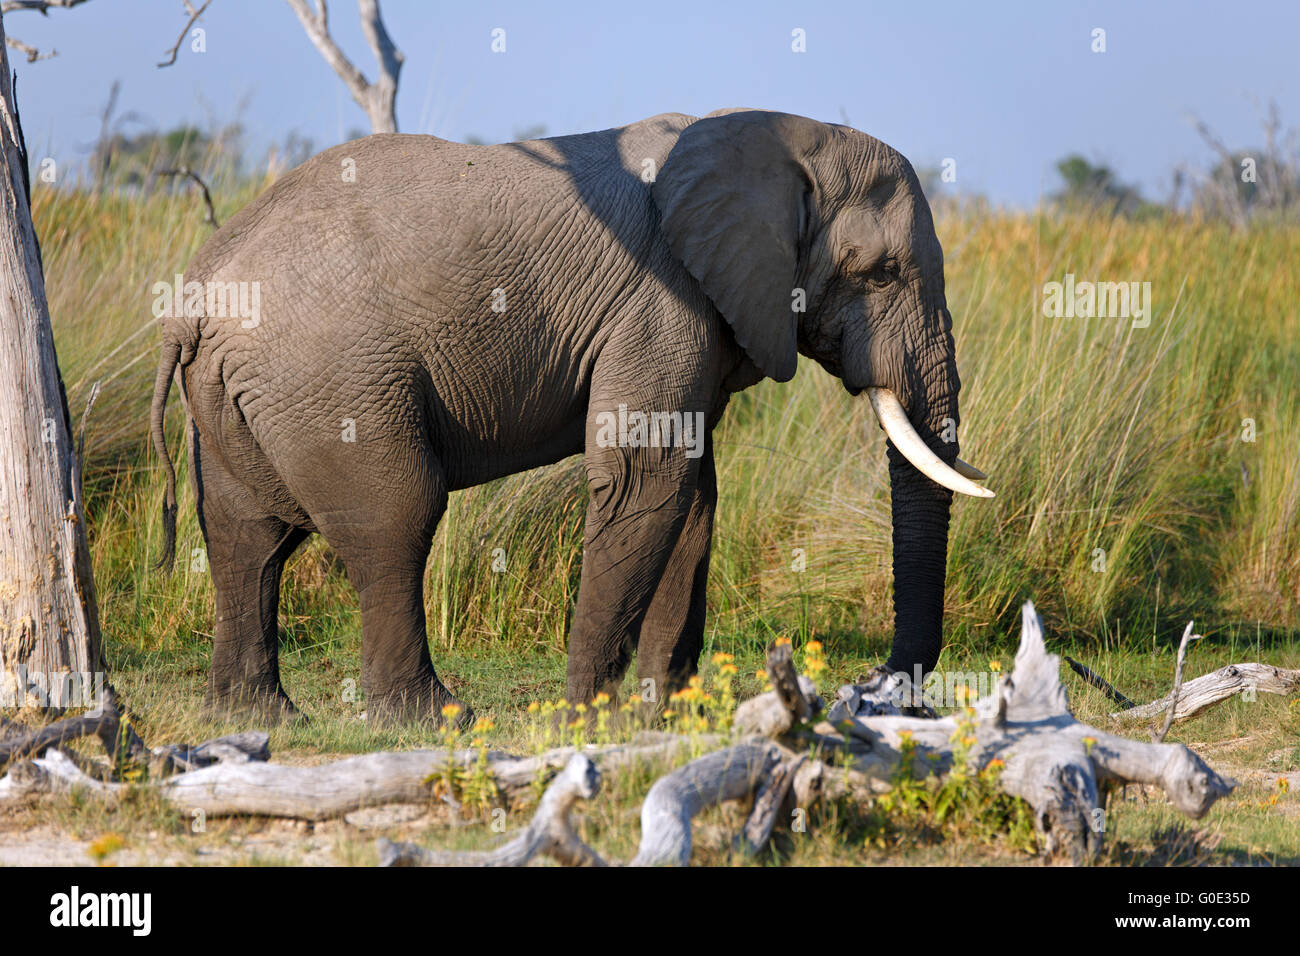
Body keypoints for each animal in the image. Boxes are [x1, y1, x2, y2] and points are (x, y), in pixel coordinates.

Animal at [149, 107, 993, 724]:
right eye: (879, 273)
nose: (877, 684)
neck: (782, 137)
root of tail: (195, 300)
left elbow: (691, 495)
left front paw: (666, 713)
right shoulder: (663, 301)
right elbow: (646, 480)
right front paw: (587, 715)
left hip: (246, 393)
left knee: (248, 534)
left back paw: (255, 717)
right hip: (333, 379)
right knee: (394, 515)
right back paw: (434, 719)